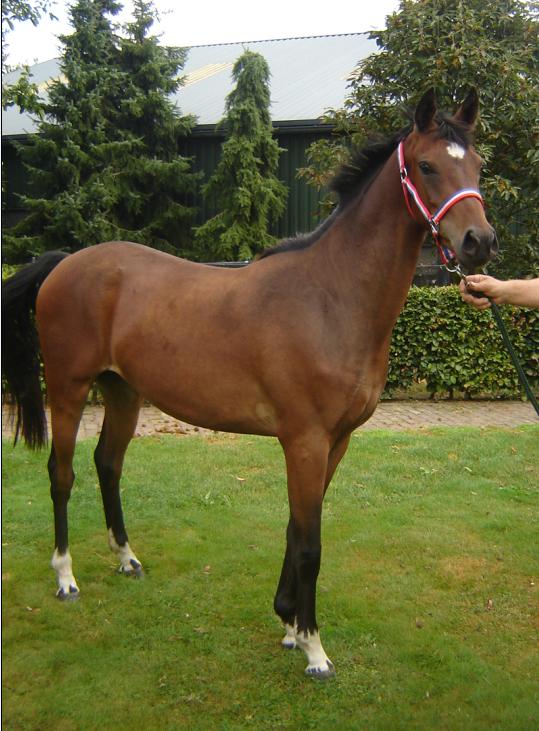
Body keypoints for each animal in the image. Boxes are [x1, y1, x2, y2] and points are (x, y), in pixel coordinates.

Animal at [2, 88, 497, 678]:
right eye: (427, 166)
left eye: (477, 164)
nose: (480, 242)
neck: (330, 297)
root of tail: (64, 263)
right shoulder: (305, 441)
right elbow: (309, 544)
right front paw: (313, 647)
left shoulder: (335, 442)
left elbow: (295, 528)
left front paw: (287, 622)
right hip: (68, 388)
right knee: (62, 474)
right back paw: (65, 577)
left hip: (122, 391)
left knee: (108, 464)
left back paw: (126, 558)